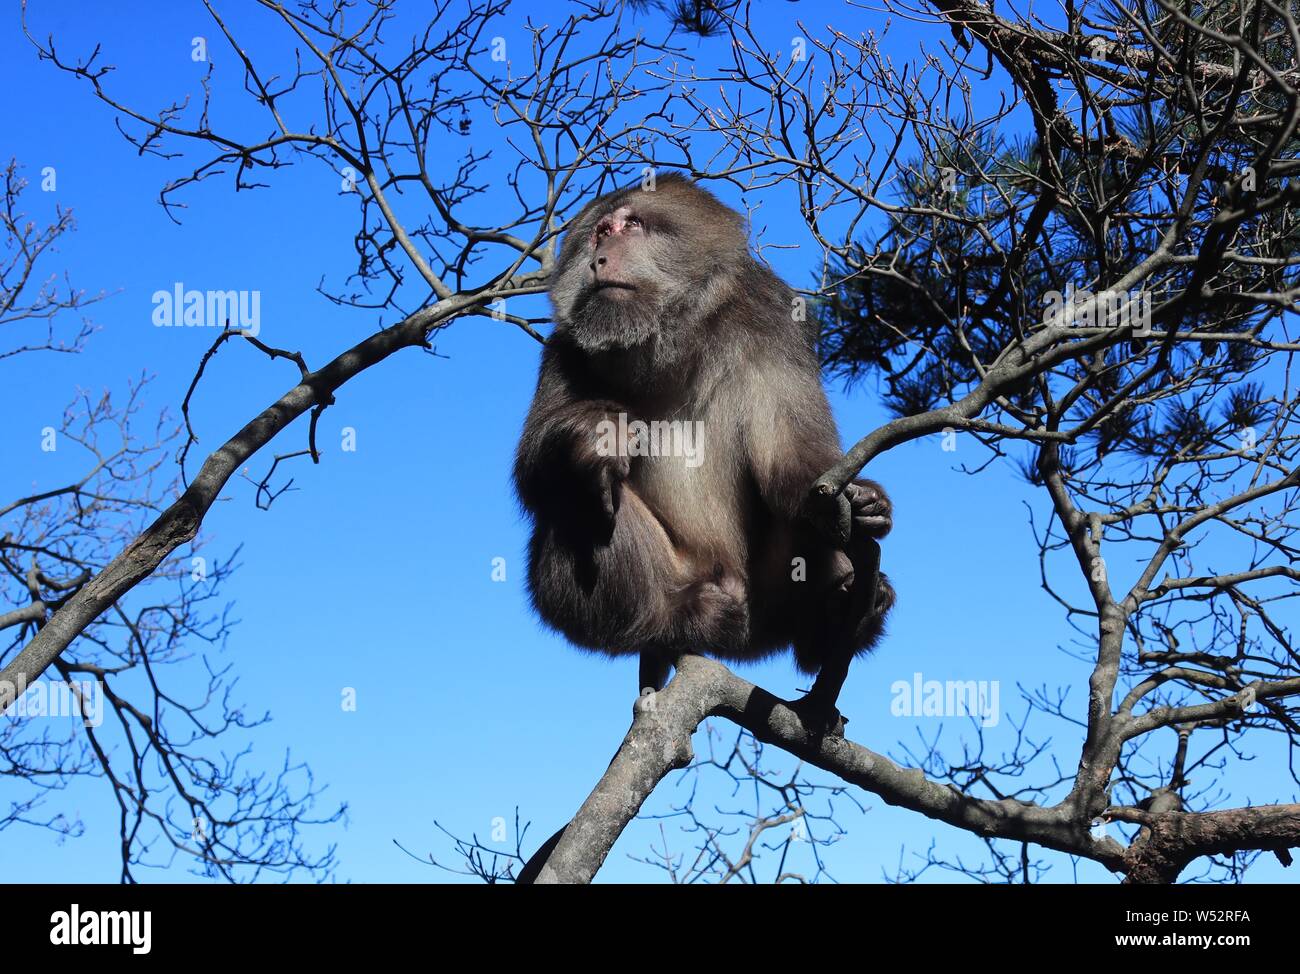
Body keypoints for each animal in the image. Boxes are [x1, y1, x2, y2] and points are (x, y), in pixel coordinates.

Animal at [513, 173, 894, 731]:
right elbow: (533, 474)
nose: (599, 258)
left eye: (632, 225)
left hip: (771, 595)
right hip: (683, 579)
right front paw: (596, 436)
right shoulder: (563, 350)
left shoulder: (770, 328)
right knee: (577, 501)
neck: (666, 341)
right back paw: (677, 615)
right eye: (601, 232)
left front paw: (864, 500)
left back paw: (838, 617)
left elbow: (793, 470)